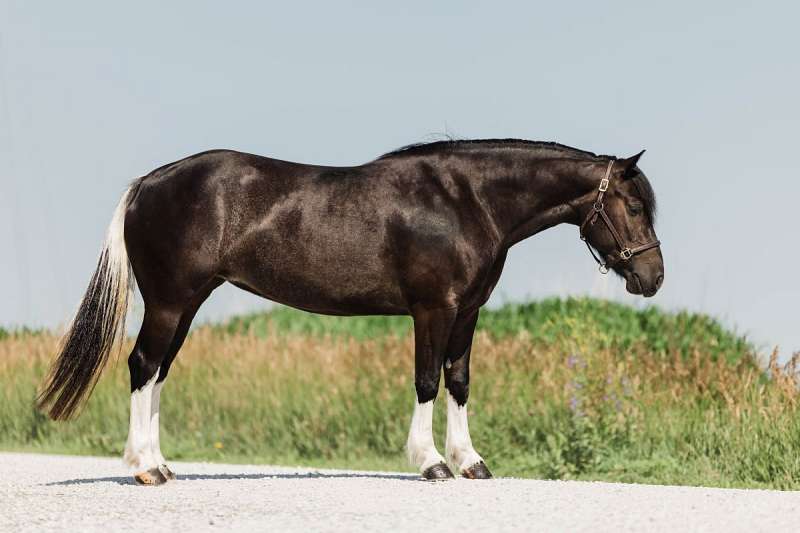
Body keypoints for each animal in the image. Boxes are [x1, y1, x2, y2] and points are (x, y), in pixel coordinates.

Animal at [37, 139, 663, 484]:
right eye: (633, 205)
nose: (652, 278)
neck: (465, 200)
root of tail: (147, 183)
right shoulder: (433, 310)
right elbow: (427, 381)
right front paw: (431, 462)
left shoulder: (468, 312)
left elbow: (459, 381)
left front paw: (471, 461)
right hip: (170, 302)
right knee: (143, 366)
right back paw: (145, 468)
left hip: (188, 303)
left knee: (159, 372)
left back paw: (161, 463)